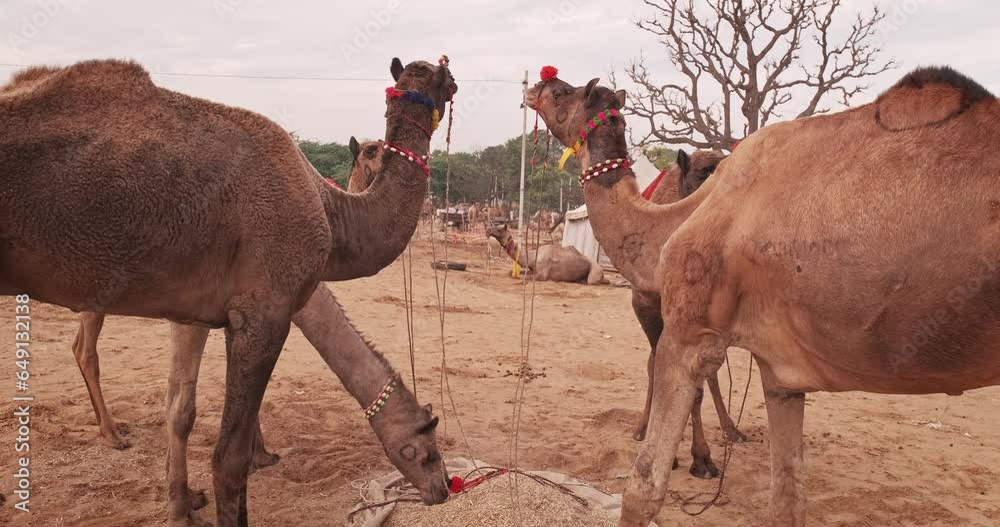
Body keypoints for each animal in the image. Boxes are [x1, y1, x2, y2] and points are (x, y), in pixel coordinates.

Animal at [1, 57, 457, 527]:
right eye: (427, 446)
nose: (442, 488)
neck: (332, 214)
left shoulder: (205, 312)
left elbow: (182, 407)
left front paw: (188, 501)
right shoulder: (264, 309)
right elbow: (222, 452)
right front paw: (231, 476)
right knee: (85, 349)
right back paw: (112, 434)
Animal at [528, 66, 1000, 527]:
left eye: (563, 92)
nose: (535, 86)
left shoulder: (688, 332)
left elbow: (642, 491)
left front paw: (695, 459)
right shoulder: (780, 374)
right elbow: (787, 503)